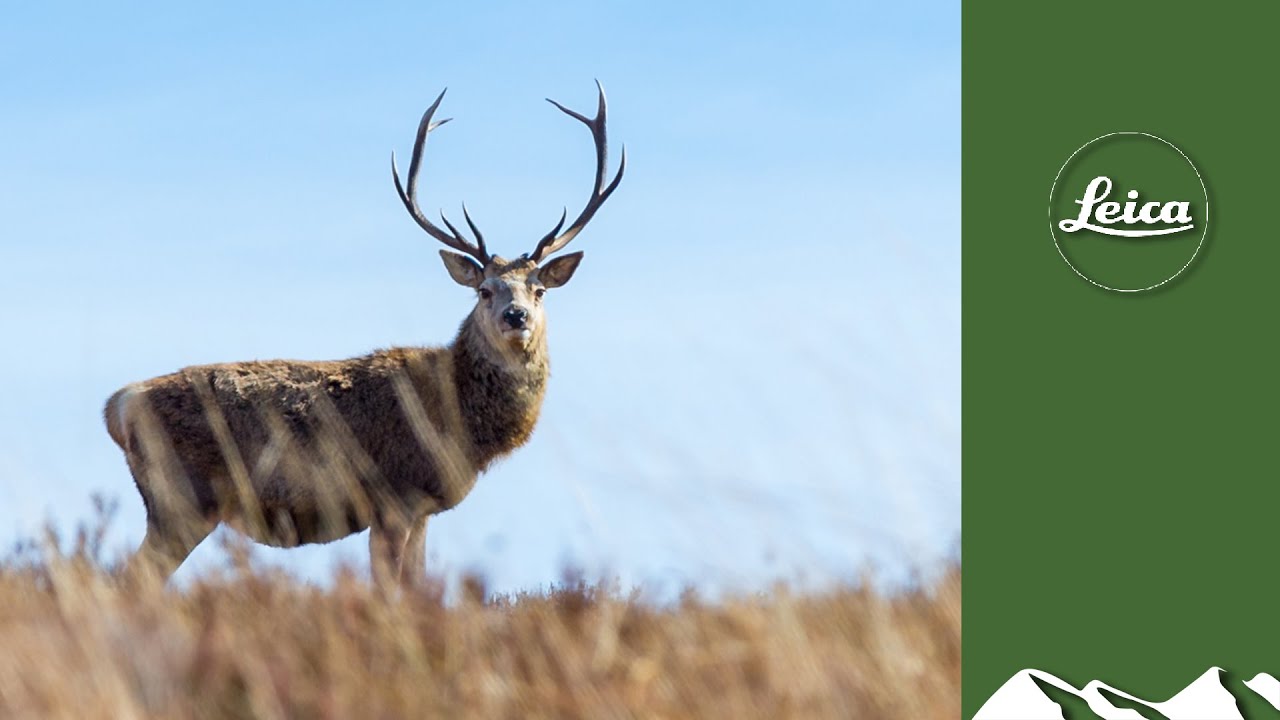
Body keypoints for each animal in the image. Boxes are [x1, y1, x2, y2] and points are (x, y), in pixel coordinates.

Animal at [103, 82, 624, 586]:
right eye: (484, 290)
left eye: (539, 290)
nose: (516, 317)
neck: (458, 420)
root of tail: (118, 406)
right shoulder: (393, 496)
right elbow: (388, 591)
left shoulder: (424, 509)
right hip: (183, 501)